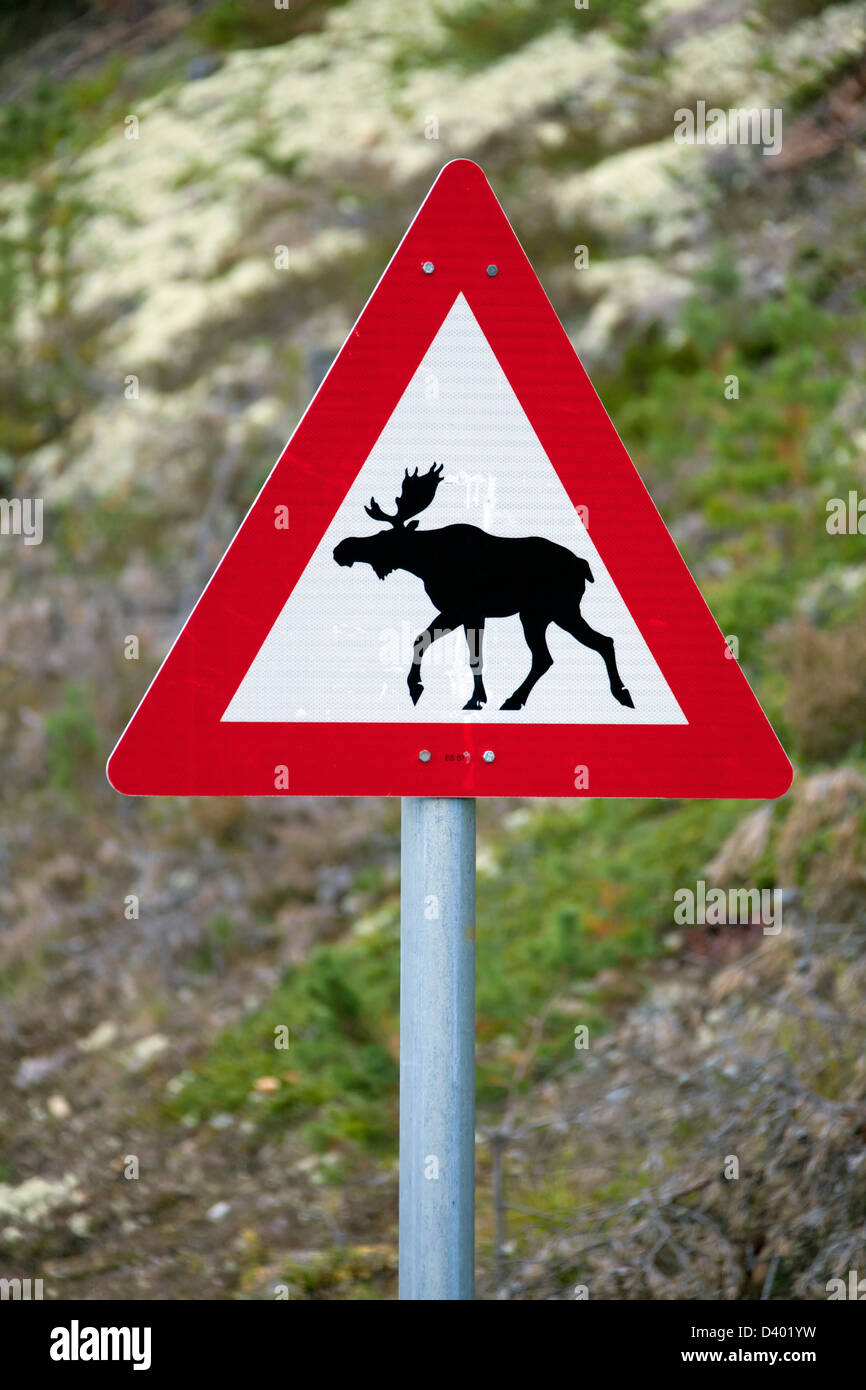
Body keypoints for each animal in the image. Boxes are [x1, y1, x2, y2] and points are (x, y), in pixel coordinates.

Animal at [333, 463, 633, 712]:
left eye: (384, 537)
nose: (341, 548)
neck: (427, 562)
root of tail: (583, 565)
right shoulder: (455, 613)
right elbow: (421, 639)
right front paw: (418, 688)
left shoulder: (468, 611)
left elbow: (473, 657)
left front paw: (474, 699)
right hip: (547, 615)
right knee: (572, 650)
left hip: (553, 612)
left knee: (575, 649)